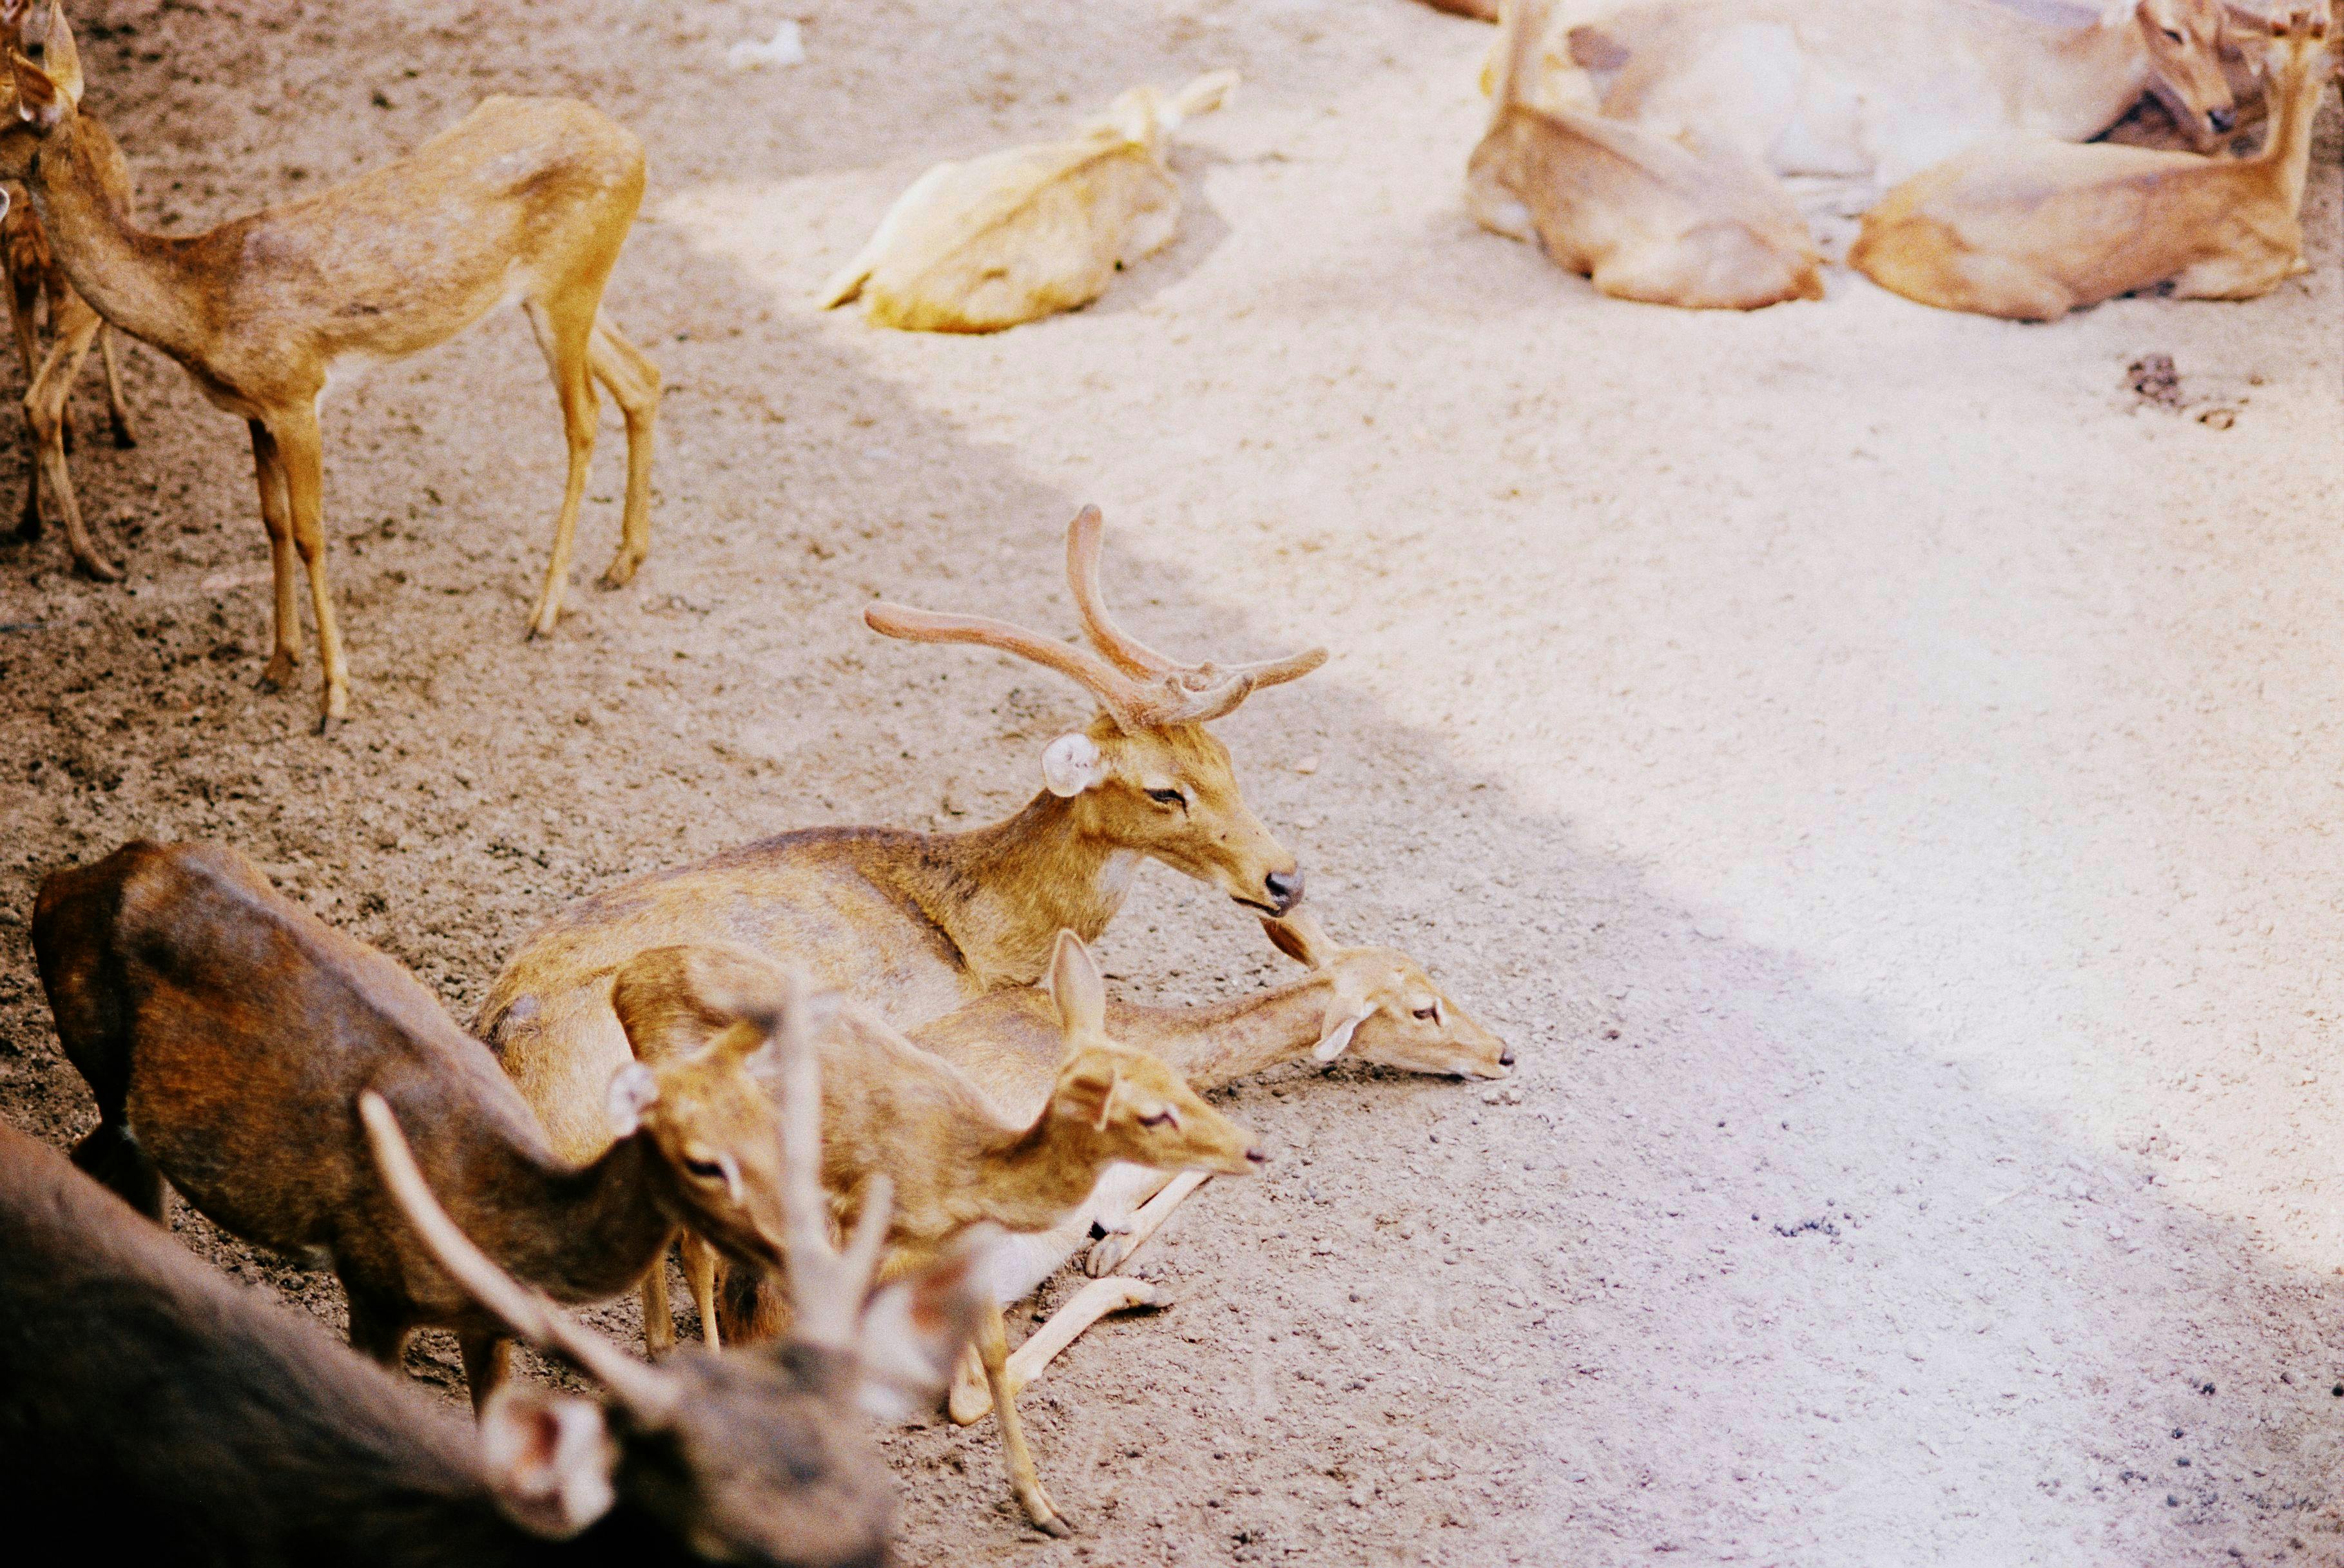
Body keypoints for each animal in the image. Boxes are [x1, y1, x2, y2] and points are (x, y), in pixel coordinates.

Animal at [0, 14, 662, 731]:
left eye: (2, 108)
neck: (200, 307)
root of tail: (636, 146)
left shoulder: (296, 391)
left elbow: (312, 534)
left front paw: (335, 696)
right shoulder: (253, 411)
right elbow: (272, 524)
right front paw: (276, 665)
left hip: (564, 288)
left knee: (583, 419)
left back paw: (544, 611)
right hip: (566, 287)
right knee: (643, 376)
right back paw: (623, 563)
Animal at [1848, 5, 2329, 320]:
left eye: (2220, 30)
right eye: (2171, 32)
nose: (2222, 114)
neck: (2265, 178)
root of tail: (1870, 237)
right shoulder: (2224, 276)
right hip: (2041, 298)